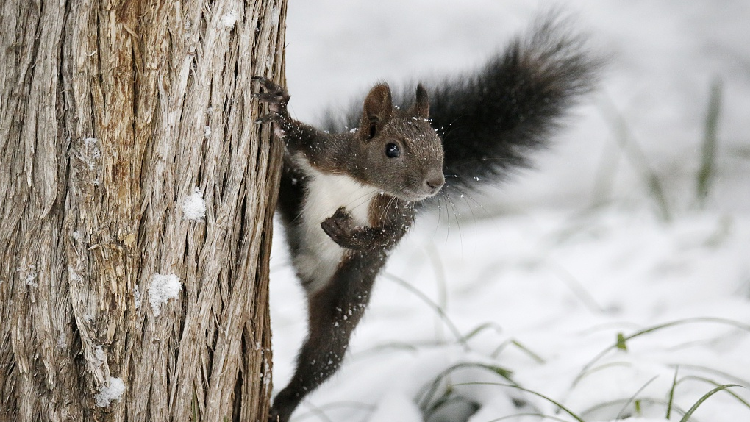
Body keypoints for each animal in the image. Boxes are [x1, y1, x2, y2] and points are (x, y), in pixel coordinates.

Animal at [254, 14, 601, 422]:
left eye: (439, 145)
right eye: (392, 149)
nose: (435, 182)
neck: (362, 183)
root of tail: (307, 274)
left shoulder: (398, 211)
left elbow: (387, 236)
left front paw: (347, 233)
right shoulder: (327, 155)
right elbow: (301, 138)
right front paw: (279, 109)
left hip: (346, 298)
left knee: (323, 356)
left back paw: (284, 403)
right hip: (296, 192)